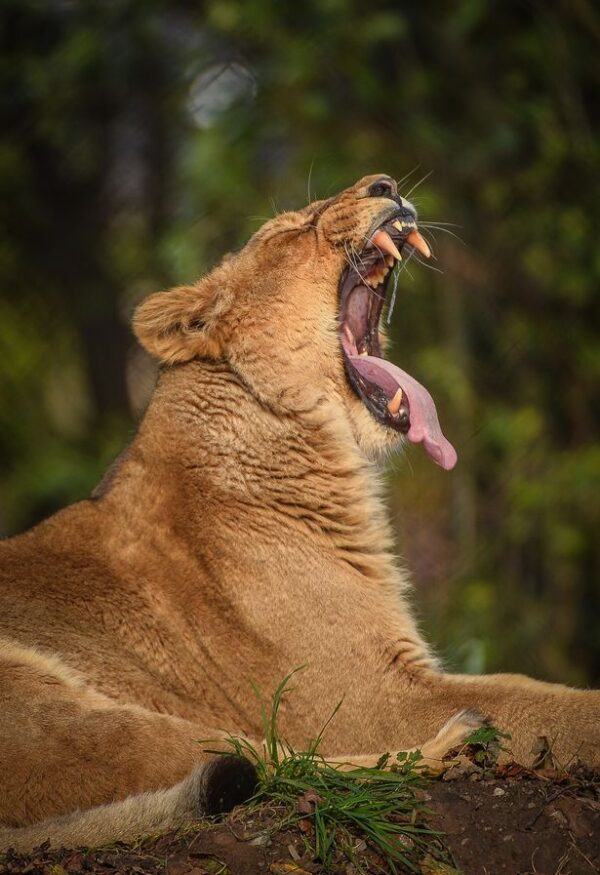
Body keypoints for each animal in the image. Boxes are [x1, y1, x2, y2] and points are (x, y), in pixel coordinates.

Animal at [1, 174, 598, 853]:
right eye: (294, 229)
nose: (385, 183)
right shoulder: (371, 697)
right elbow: (540, 703)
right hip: (54, 710)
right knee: (274, 765)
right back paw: (457, 743)